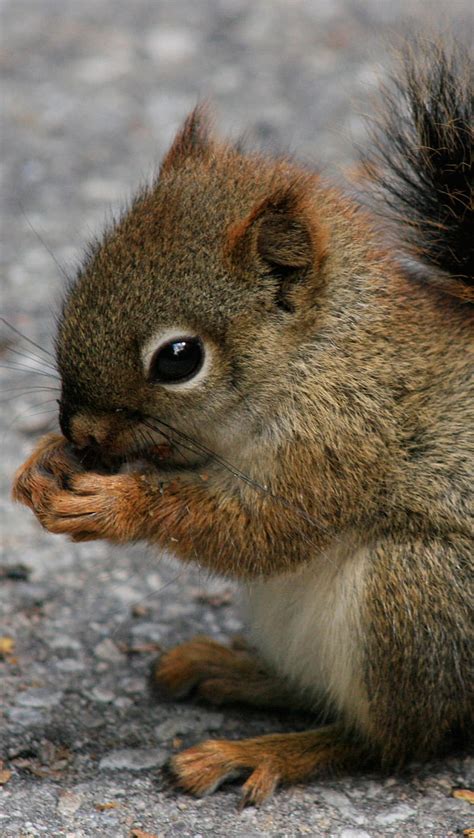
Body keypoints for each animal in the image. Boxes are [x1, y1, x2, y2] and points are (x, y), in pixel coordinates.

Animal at [12, 40, 473, 805]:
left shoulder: (343, 439)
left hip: (418, 598)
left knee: (389, 742)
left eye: (178, 359)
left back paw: (263, 751)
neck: (315, 355)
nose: (80, 433)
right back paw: (230, 670)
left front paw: (117, 505)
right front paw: (40, 465)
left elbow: (264, 531)